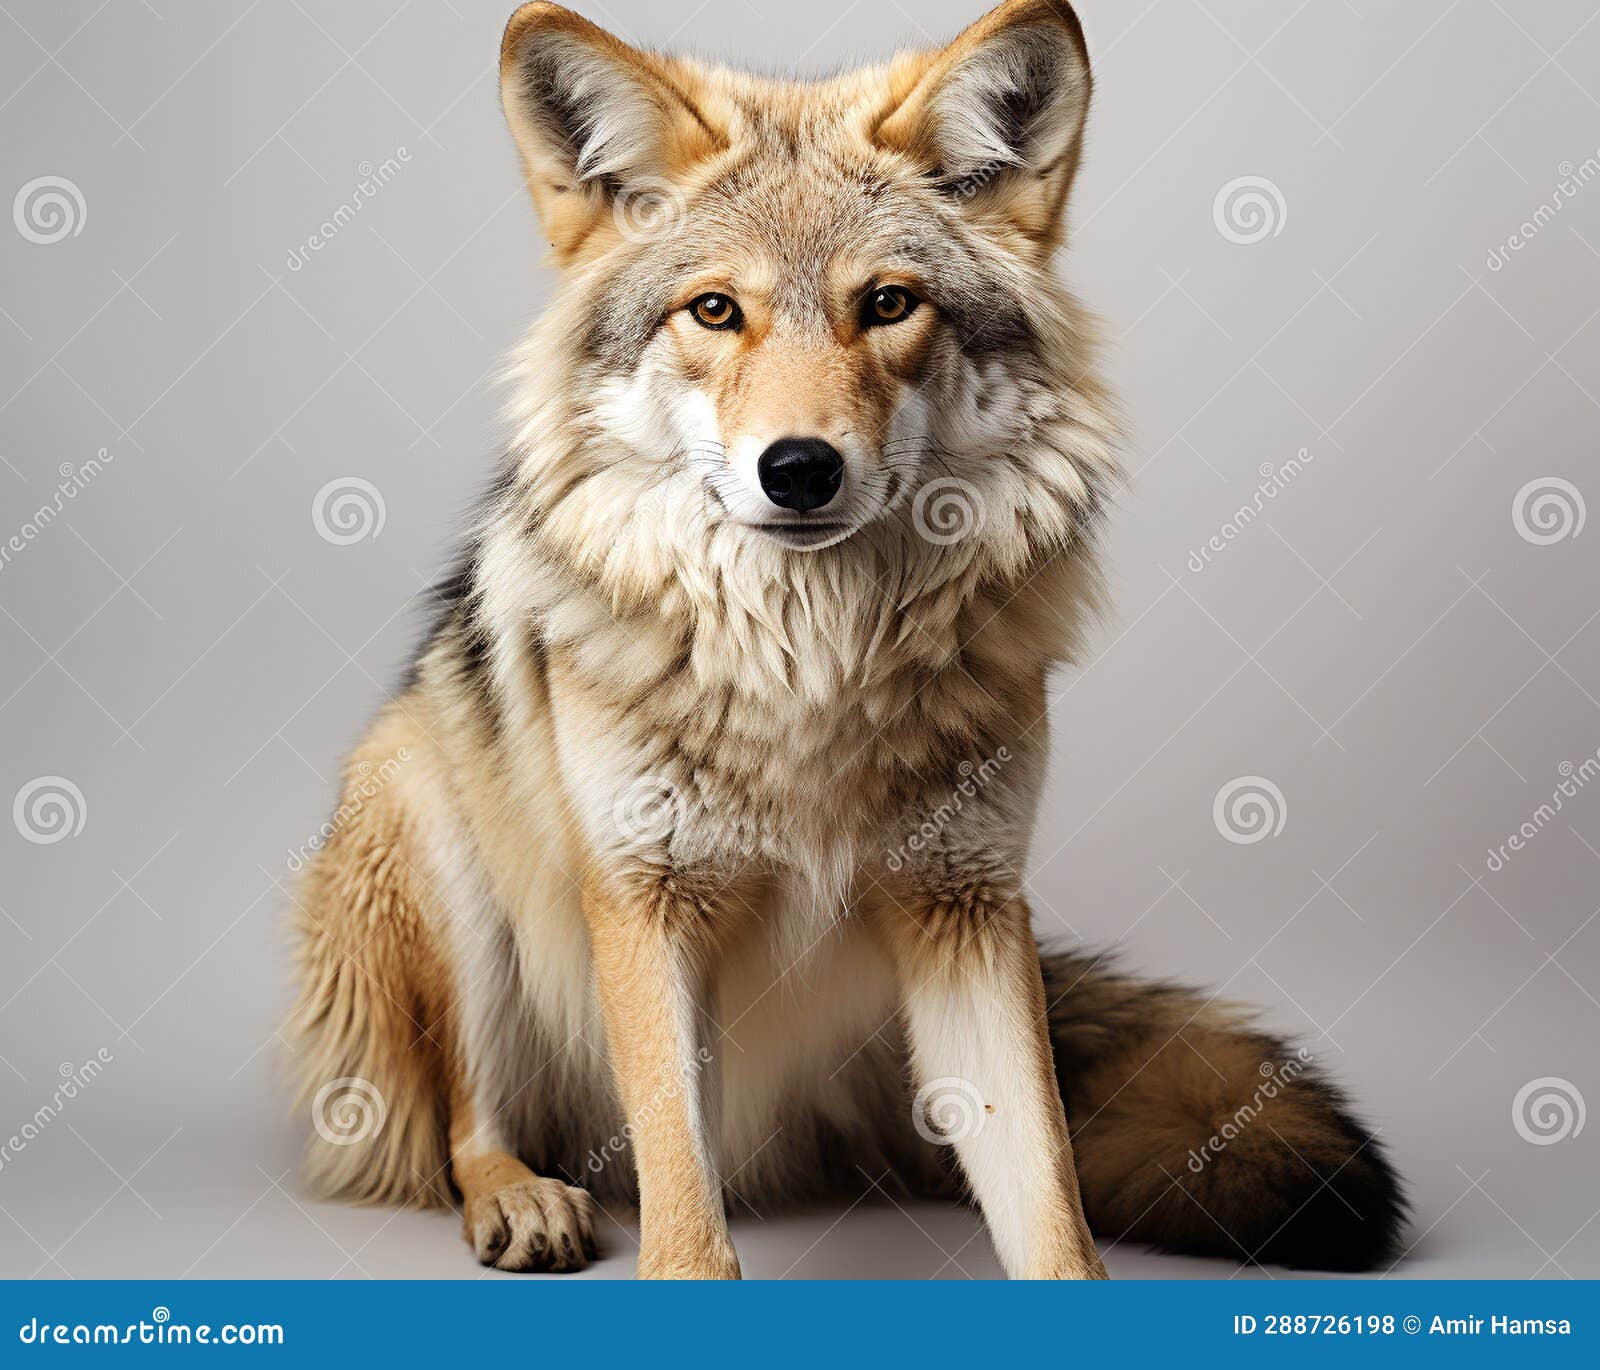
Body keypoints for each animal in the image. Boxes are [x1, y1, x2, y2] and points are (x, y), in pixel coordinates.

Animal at [286, 0, 1404, 1278]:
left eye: (887, 304)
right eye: (715, 309)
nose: (800, 467)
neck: (810, 670)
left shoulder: (969, 910)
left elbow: (1049, 1205)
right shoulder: (646, 905)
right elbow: (683, 1214)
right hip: (435, 831)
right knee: (463, 1116)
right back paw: (523, 1196)